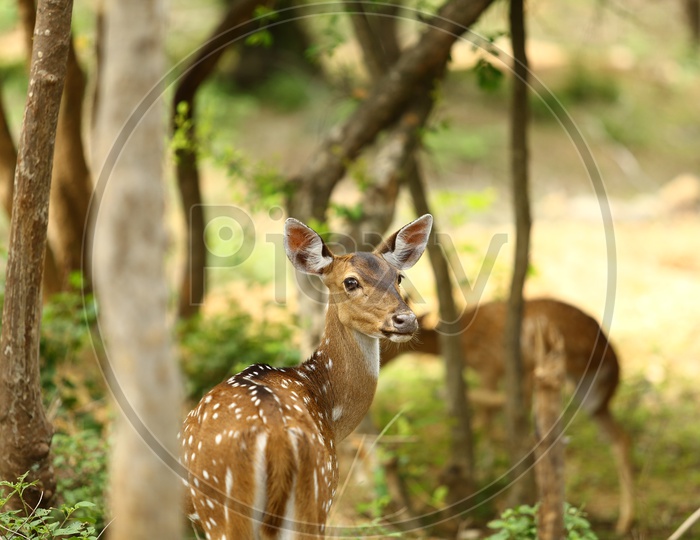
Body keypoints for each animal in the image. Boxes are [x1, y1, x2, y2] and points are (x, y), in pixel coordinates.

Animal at [382, 298, 635, 534]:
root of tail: (610, 356)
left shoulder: (489, 366)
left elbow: (486, 416)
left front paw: (484, 467)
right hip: (589, 391)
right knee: (618, 437)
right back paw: (623, 523)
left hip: (538, 362)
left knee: (525, 408)